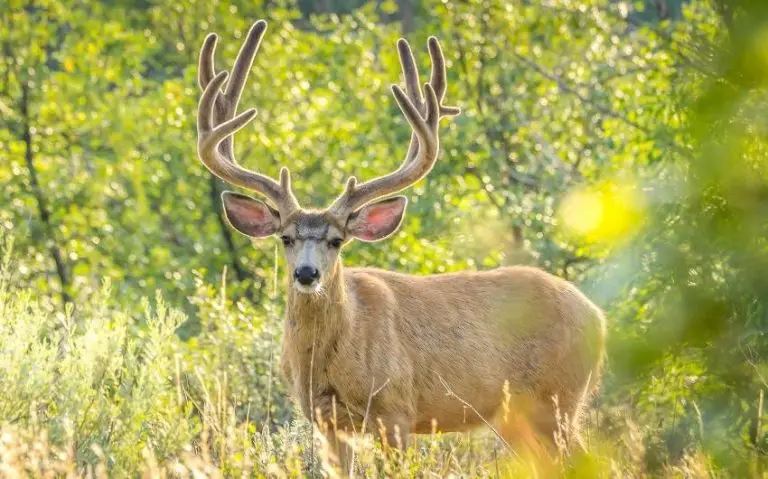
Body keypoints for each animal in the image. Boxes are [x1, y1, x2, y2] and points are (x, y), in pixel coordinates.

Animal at [195, 20, 606, 473]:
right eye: (286, 237)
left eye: (337, 240)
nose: (306, 273)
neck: (331, 358)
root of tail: (598, 316)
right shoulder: (325, 421)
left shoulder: (395, 409)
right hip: (518, 417)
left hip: (557, 399)